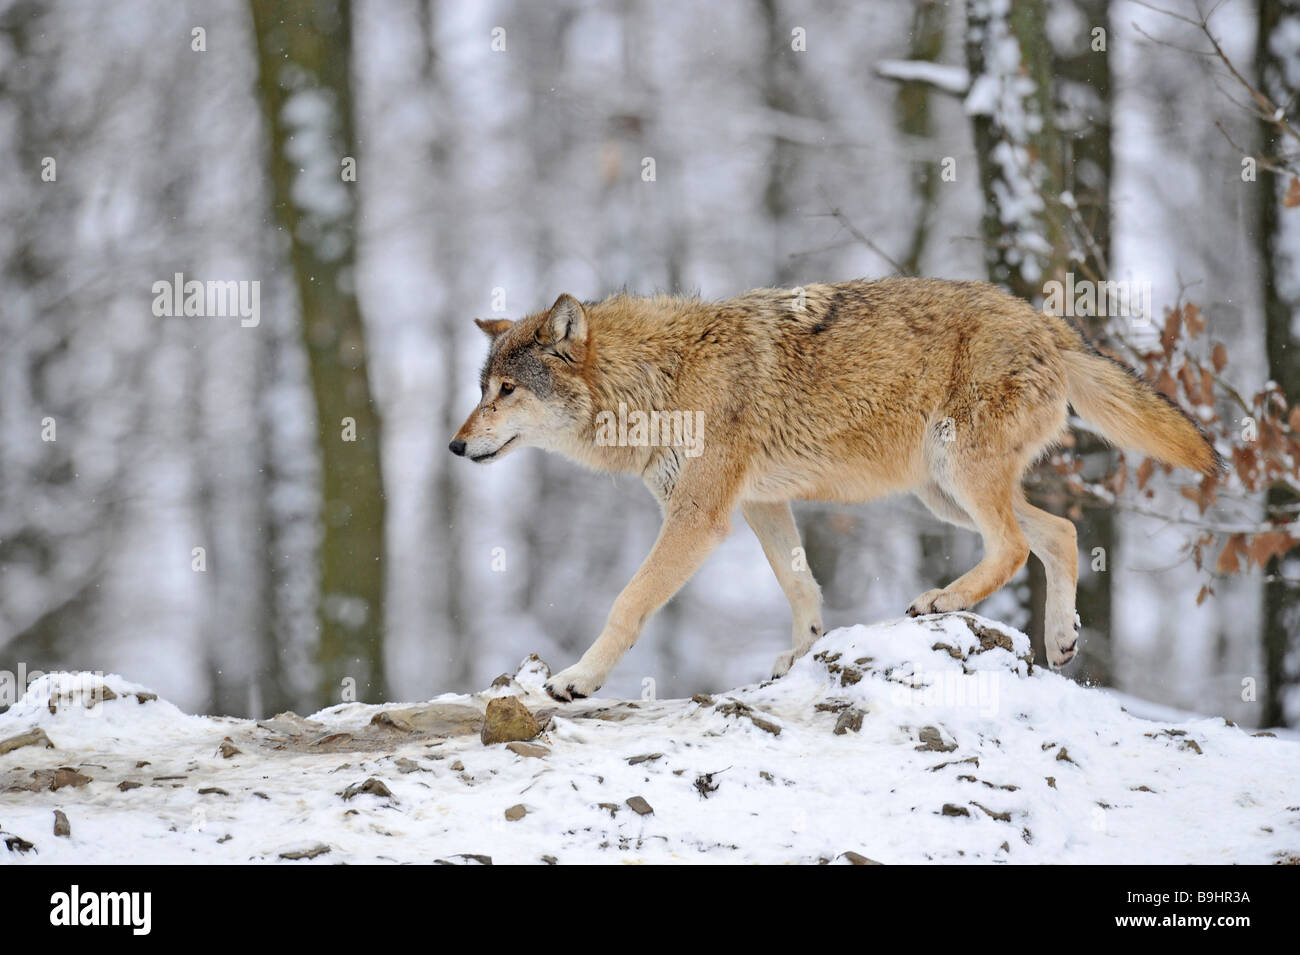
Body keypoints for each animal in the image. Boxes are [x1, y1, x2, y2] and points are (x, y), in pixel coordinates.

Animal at [450, 278, 1220, 701]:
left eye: (506, 391)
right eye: (483, 389)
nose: (456, 446)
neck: (656, 380)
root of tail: (1051, 323)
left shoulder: (699, 517)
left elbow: (628, 603)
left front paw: (577, 679)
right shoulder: (758, 504)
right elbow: (801, 585)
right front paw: (803, 653)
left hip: (957, 477)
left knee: (1011, 547)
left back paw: (941, 600)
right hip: (939, 493)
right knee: (1059, 532)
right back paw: (1060, 640)